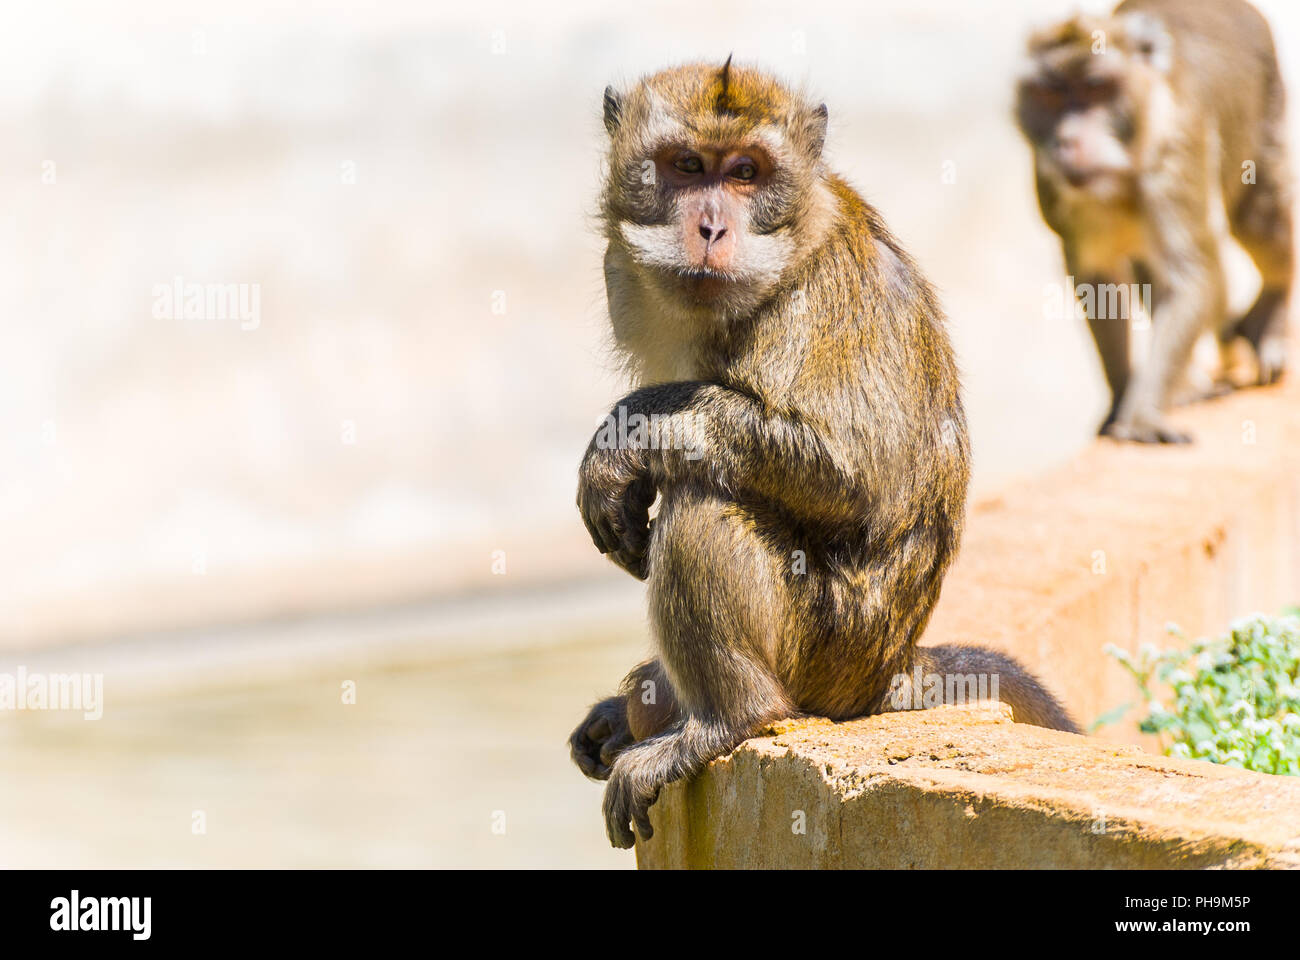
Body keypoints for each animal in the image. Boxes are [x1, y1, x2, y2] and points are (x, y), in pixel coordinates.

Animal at [568, 59, 1079, 850]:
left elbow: (854, 475)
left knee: (705, 497)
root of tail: (887, 670)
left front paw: (625, 435)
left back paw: (727, 720)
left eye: (746, 173)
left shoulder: (823, 295)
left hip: (825, 650)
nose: (710, 226)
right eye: (687, 167)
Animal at [1015, 0, 1293, 444]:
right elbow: (1098, 280)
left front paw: (1143, 415)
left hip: (1266, 108)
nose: (1067, 142)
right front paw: (1122, 399)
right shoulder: (1048, 177)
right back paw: (1189, 381)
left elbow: (1193, 276)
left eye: (1096, 88)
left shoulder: (1175, 152)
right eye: (1049, 95)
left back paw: (1269, 318)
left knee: (1258, 217)